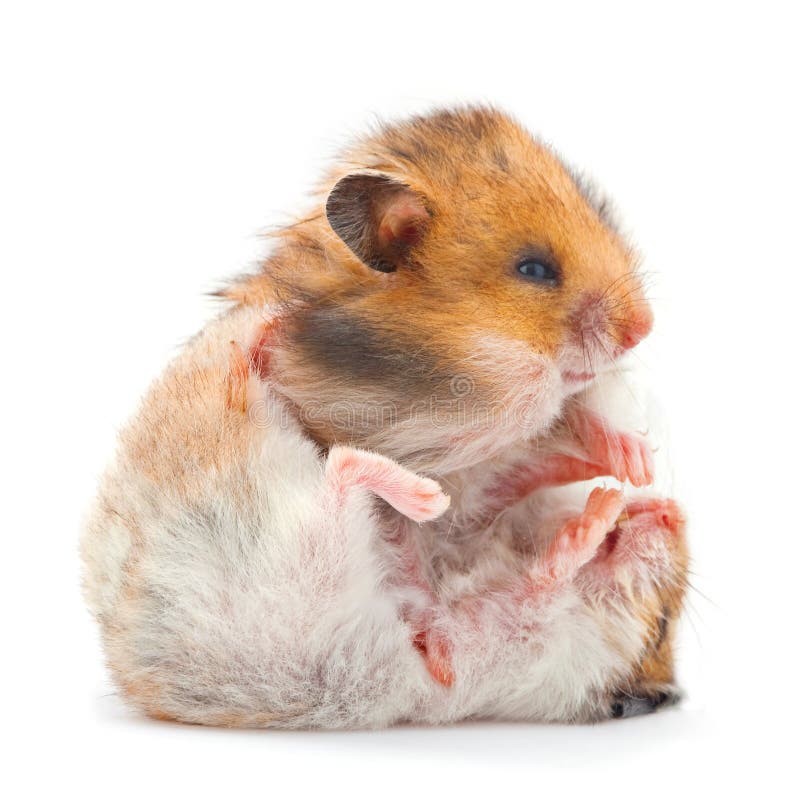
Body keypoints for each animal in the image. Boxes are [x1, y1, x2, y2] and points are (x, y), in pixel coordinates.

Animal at [81, 106, 688, 727]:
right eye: (535, 269)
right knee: (342, 471)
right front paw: (607, 502)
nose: (643, 328)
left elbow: (557, 428)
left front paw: (632, 466)